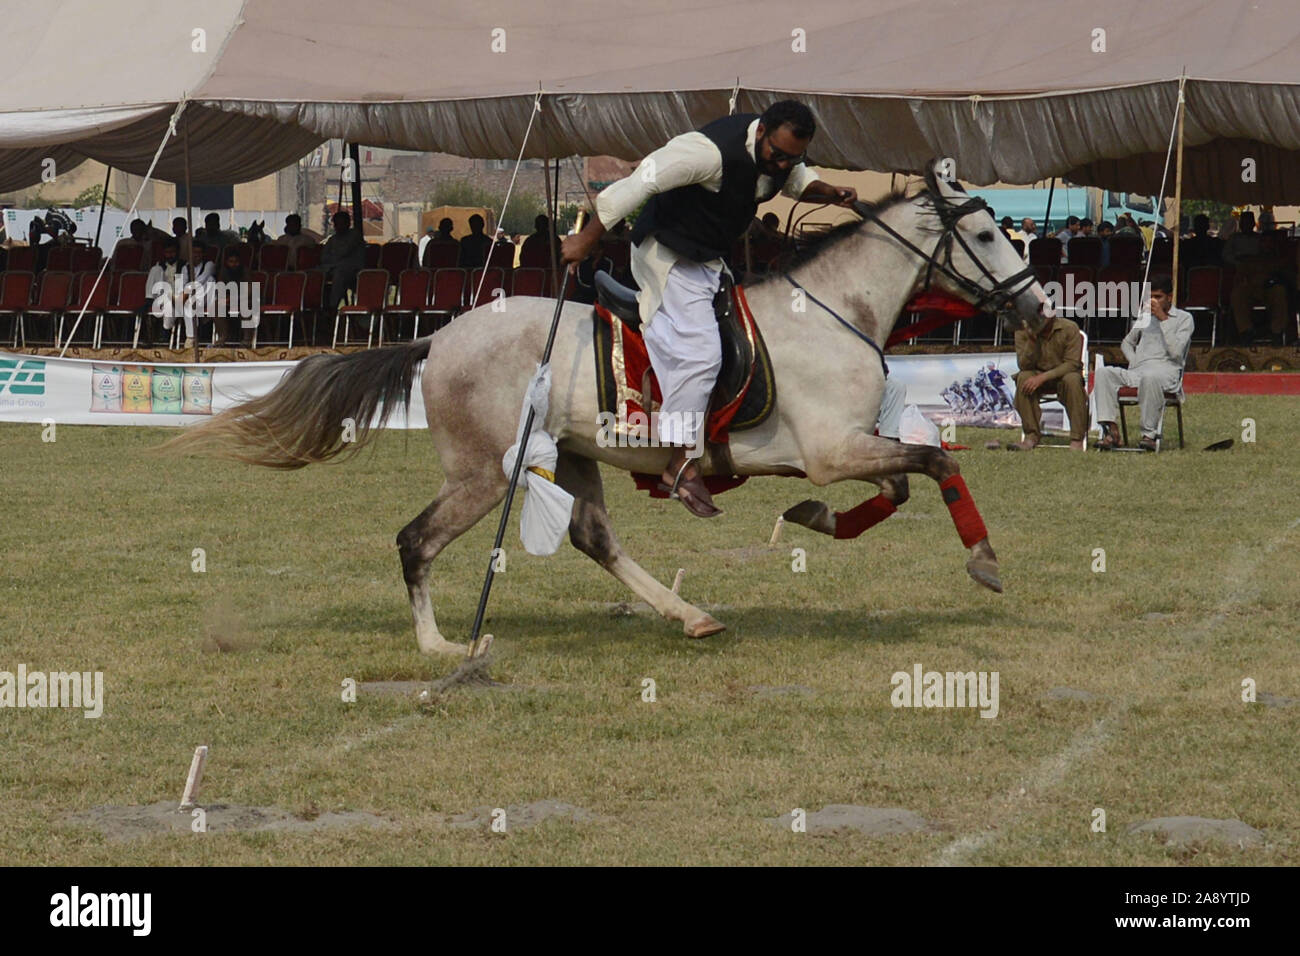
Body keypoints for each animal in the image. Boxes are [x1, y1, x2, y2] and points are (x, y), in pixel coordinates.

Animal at [161, 164, 1047, 656]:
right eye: (985, 235)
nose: (1038, 306)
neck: (835, 311)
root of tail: (440, 338)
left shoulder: (843, 449)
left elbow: (896, 485)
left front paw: (817, 519)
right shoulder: (834, 449)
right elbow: (934, 461)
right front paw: (984, 561)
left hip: (574, 452)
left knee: (593, 537)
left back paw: (689, 615)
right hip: (486, 474)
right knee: (417, 541)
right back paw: (440, 644)